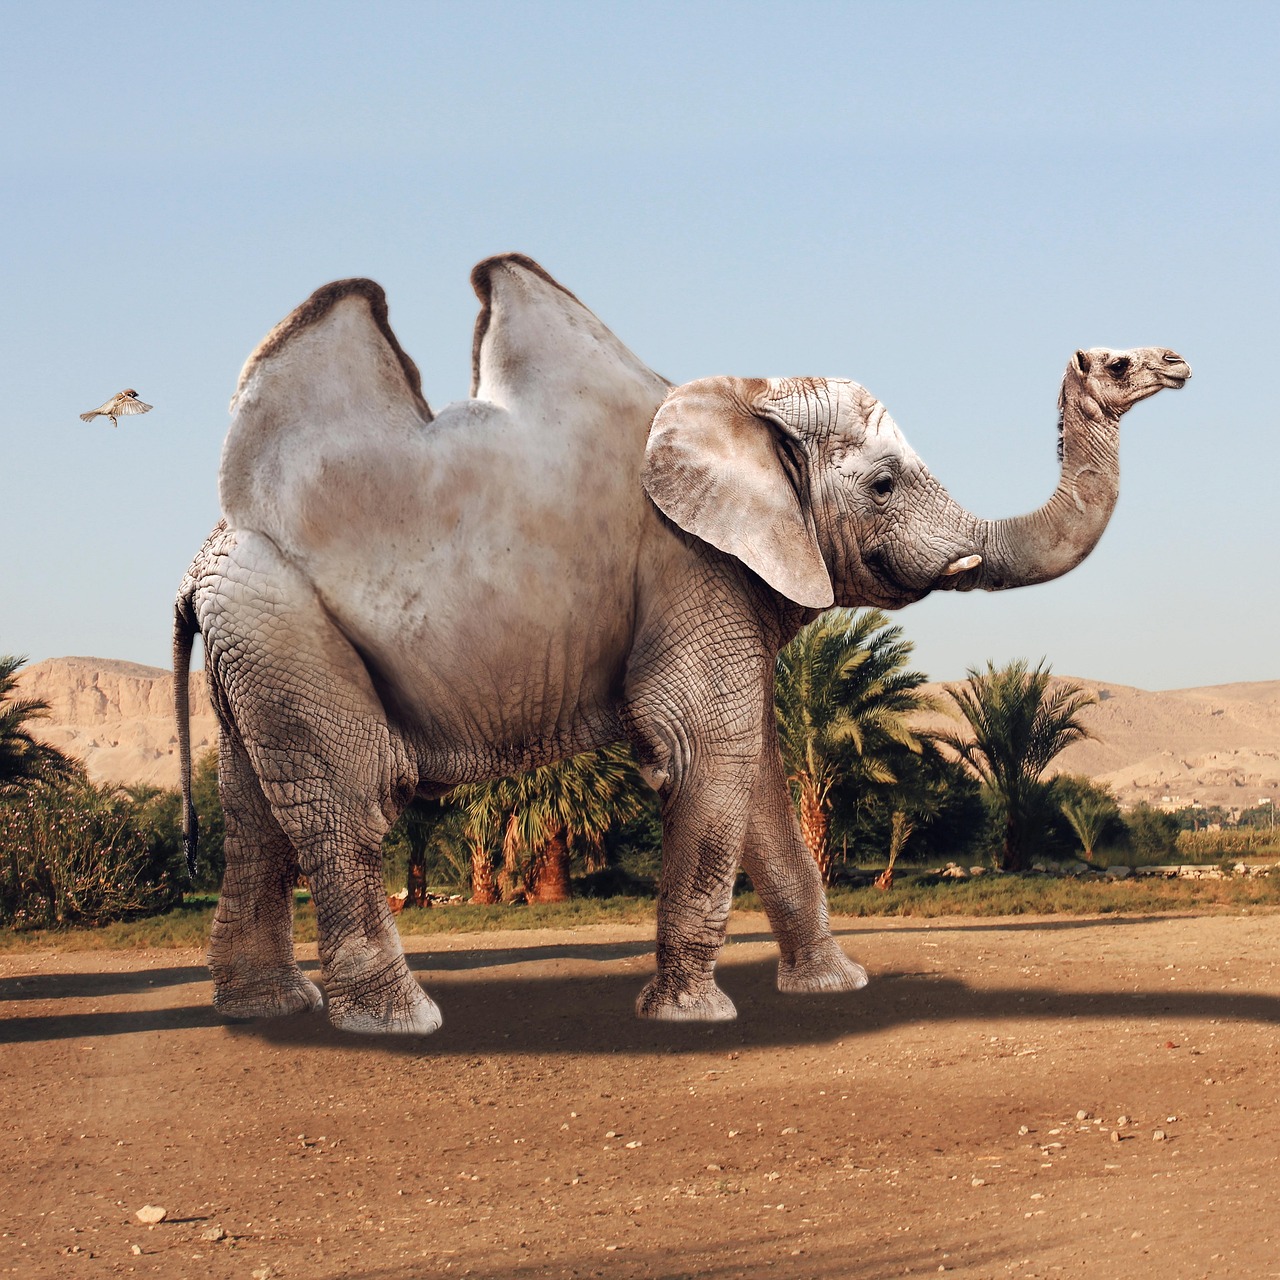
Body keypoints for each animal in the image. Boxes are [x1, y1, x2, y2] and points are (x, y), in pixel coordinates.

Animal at [173, 253, 1189, 1034]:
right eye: (885, 484)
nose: (1157, 365)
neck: (746, 397)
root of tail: (201, 563)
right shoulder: (689, 567)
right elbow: (710, 750)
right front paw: (693, 1019)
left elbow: (762, 778)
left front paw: (833, 989)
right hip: (283, 624)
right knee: (346, 804)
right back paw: (401, 1025)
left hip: (254, 642)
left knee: (257, 819)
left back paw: (271, 1012)